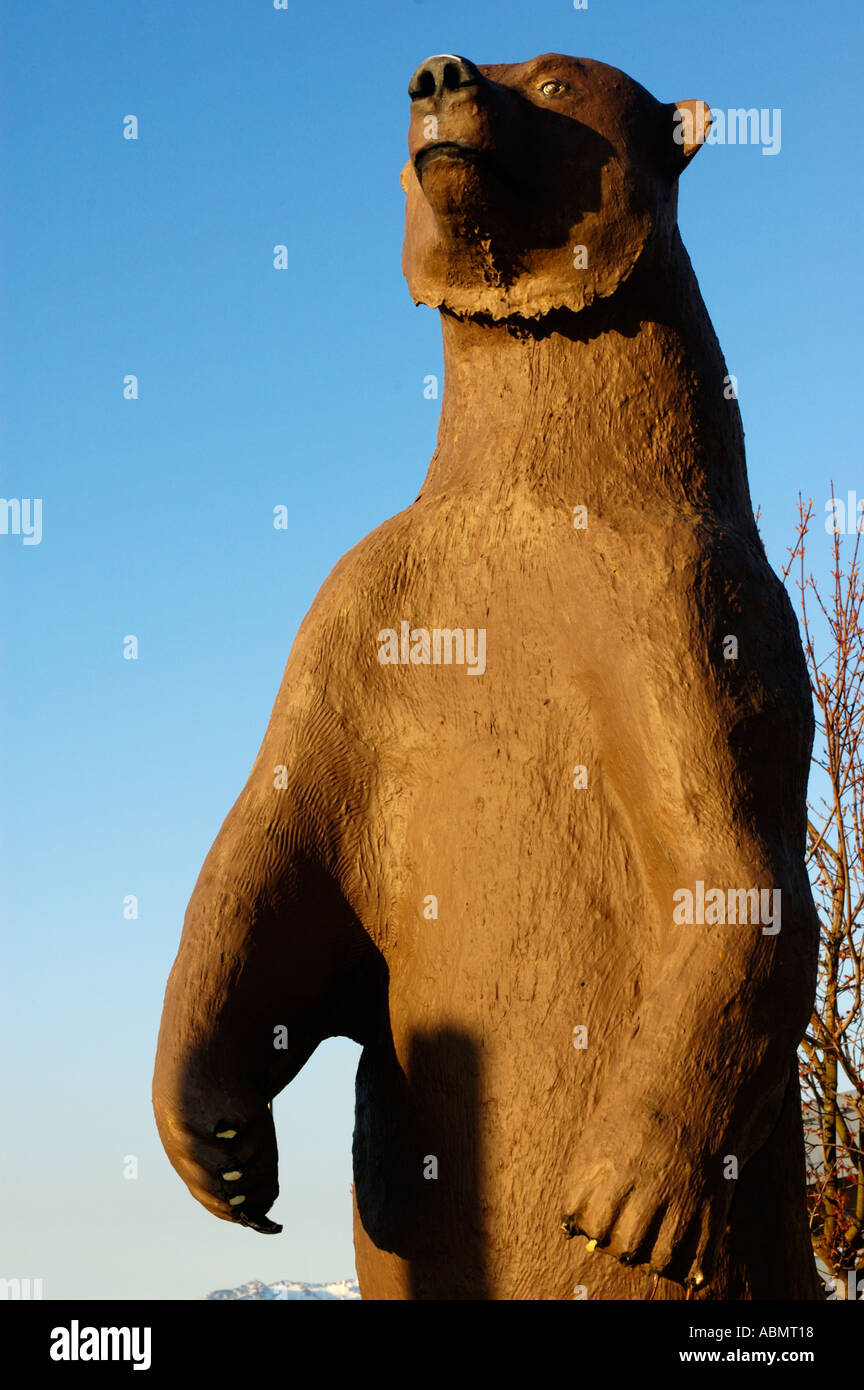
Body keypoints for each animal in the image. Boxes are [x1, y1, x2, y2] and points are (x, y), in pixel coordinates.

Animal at [153, 53, 821, 1301]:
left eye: (558, 80)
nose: (436, 74)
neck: (542, 489)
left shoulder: (690, 618)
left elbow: (737, 871)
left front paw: (631, 1185)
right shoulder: (356, 620)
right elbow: (271, 851)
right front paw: (215, 1136)